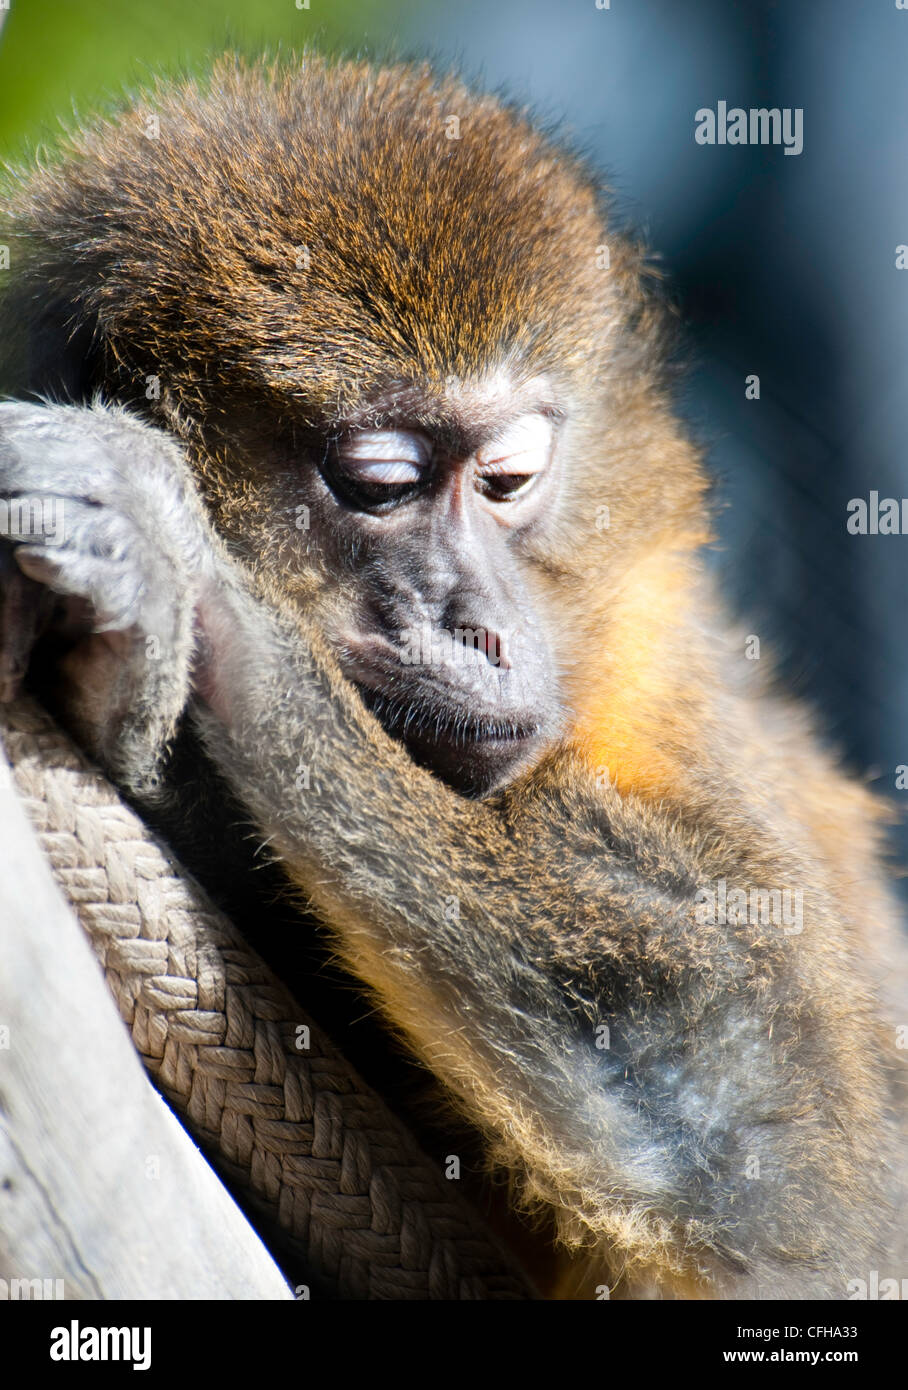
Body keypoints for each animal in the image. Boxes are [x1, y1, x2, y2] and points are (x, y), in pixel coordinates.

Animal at [0, 51, 901, 1289]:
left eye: (509, 478)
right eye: (380, 486)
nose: (477, 624)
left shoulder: (668, 686)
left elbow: (772, 1136)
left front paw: (196, 577)